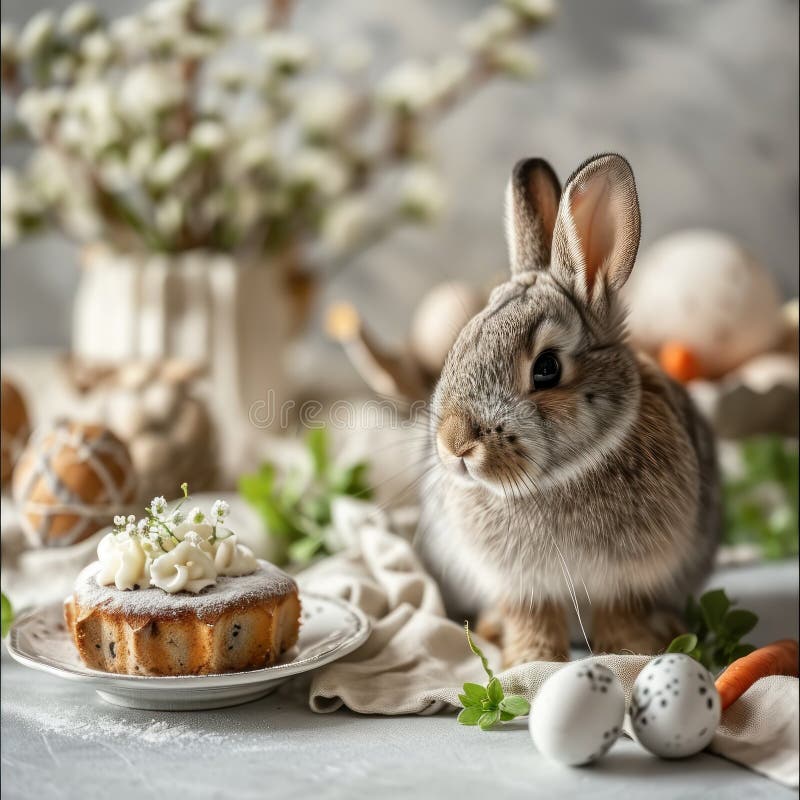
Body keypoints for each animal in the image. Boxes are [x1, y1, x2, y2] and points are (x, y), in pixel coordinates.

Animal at [418, 153, 721, 665]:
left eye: (546, 369)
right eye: (461, 344)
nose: (454, 444)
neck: (556, 479)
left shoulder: (627, 578)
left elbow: (621, 614)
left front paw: (631, 655)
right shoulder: (520, 584)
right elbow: (532, 617)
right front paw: (531, 661)